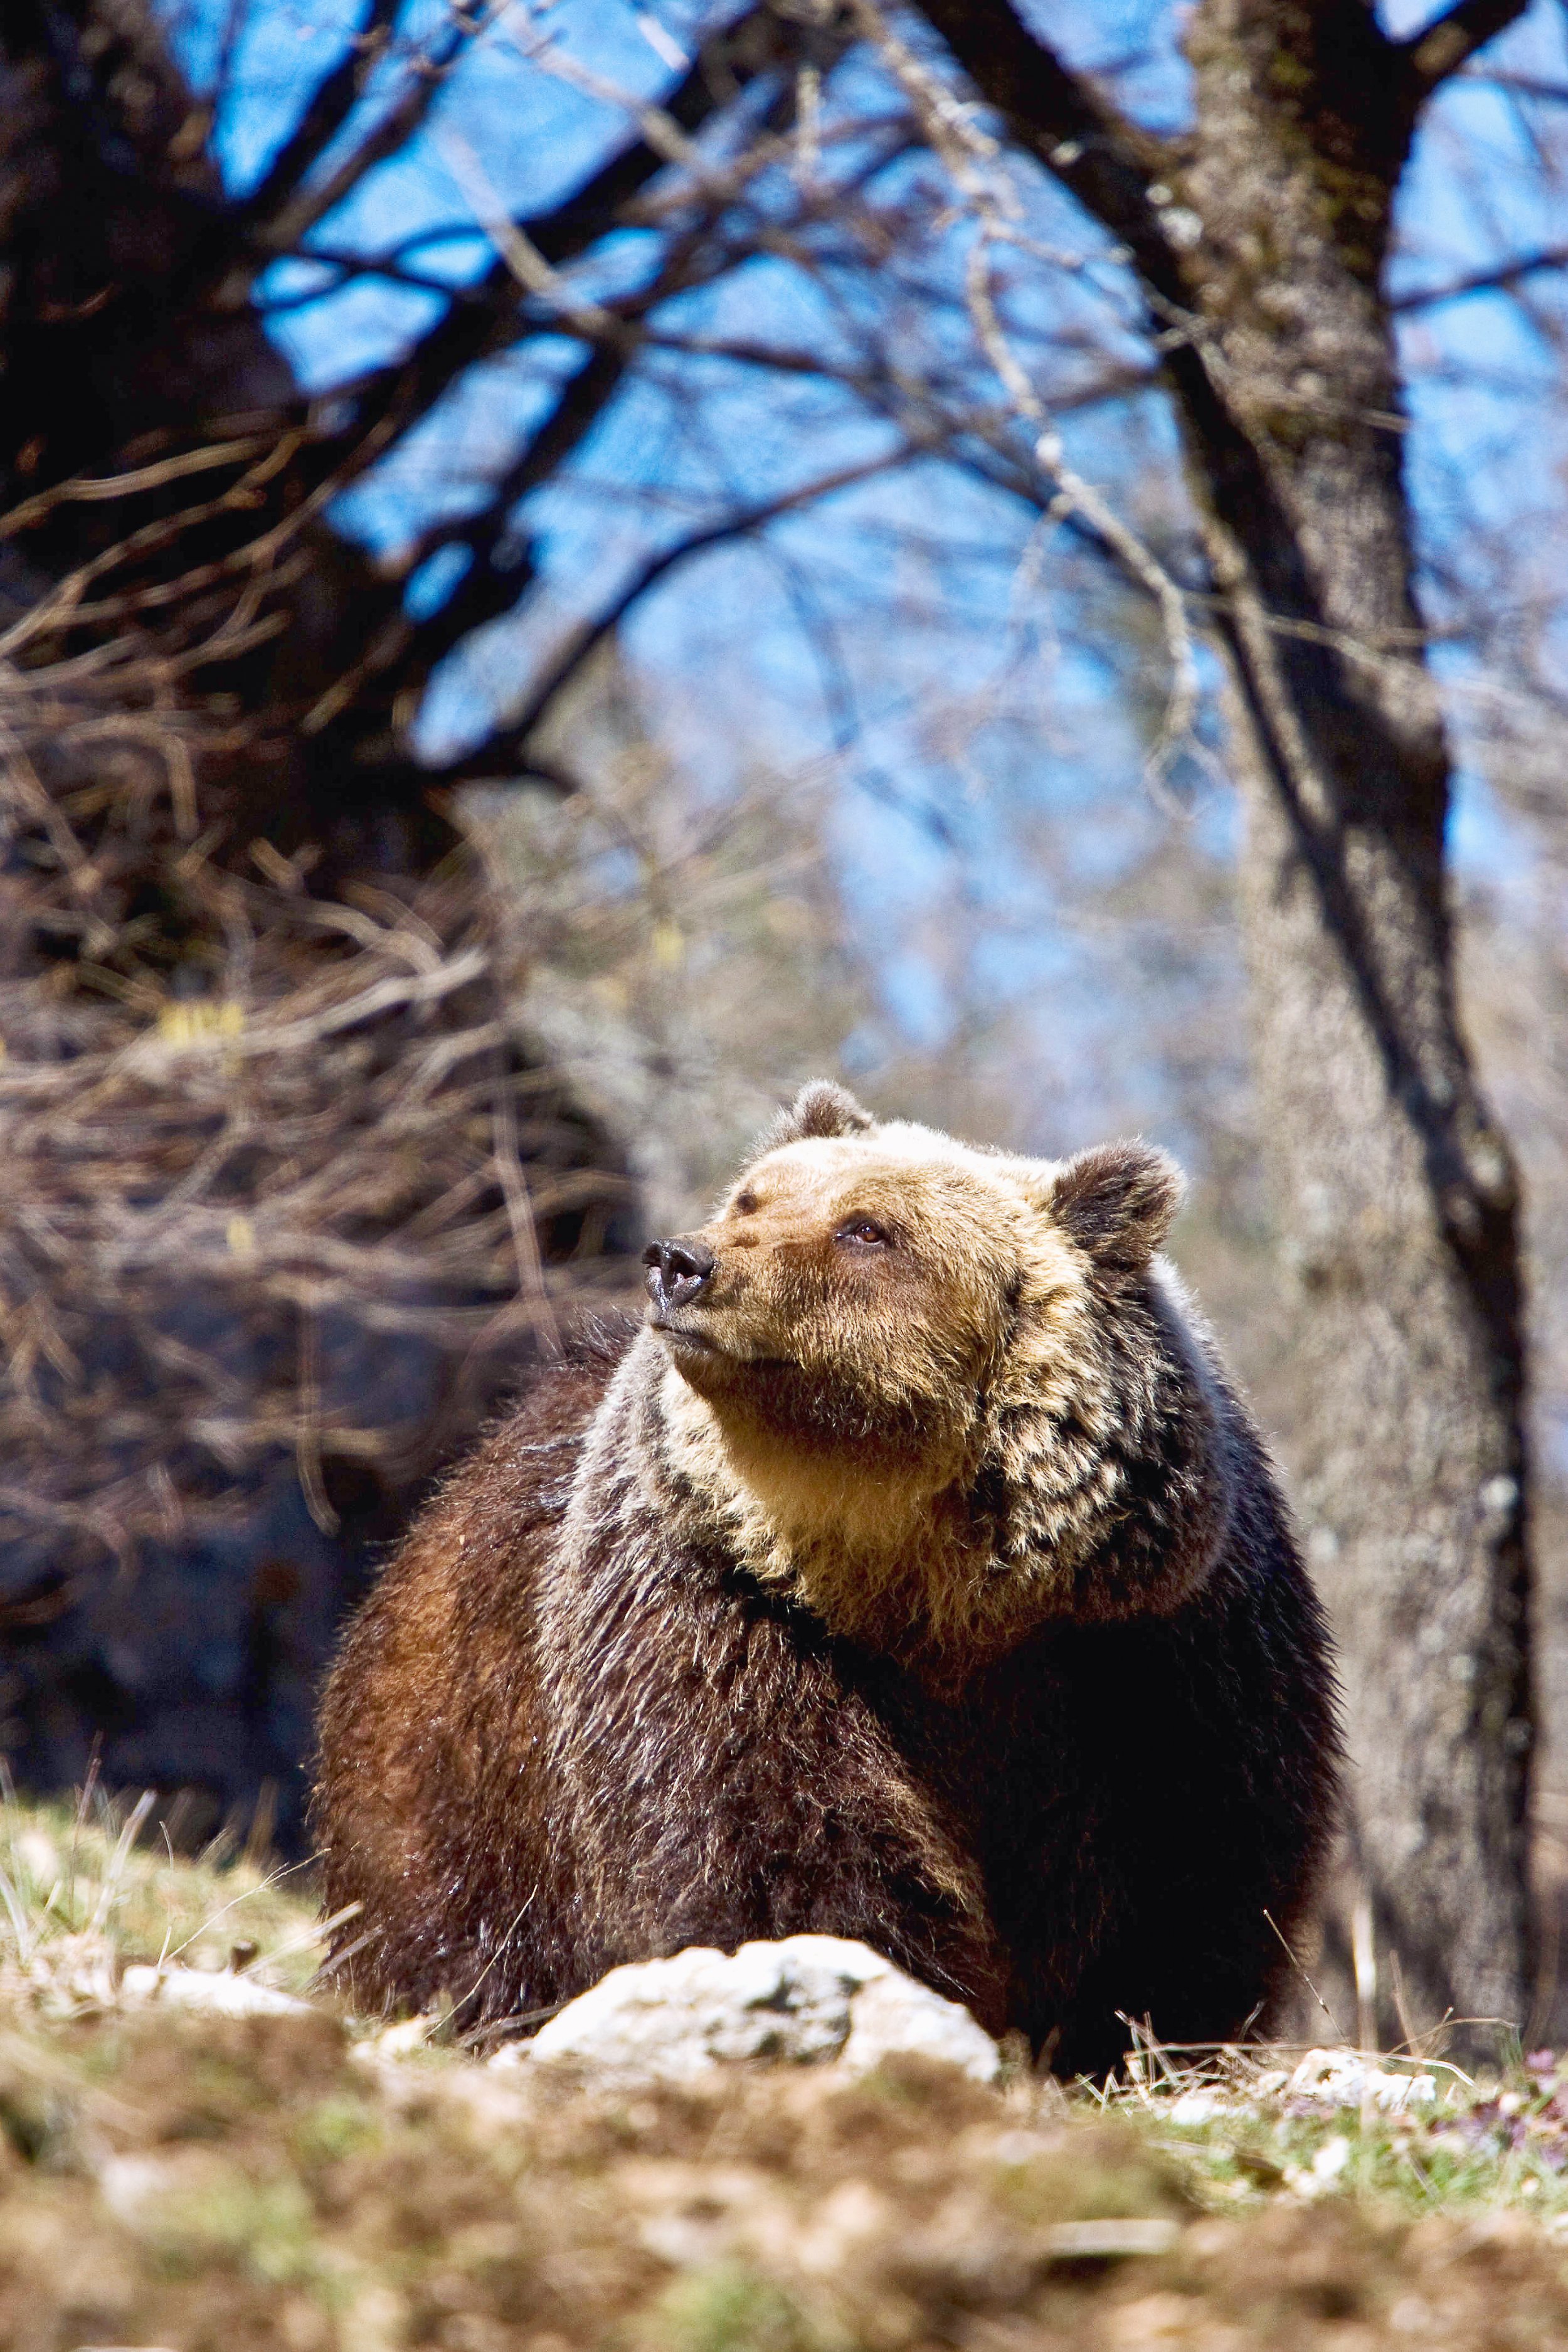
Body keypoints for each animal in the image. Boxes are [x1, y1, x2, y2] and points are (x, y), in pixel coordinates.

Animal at [312, 1082, 1339, 2075]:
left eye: (866, 1228)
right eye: (753, 1197)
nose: (681, 1260)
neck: (933, 1597)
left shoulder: (1157, 1644)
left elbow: (1198, 1868)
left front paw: (1134, 2038)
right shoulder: (719, 1610)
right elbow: (770, 1828)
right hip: (457, 1758)